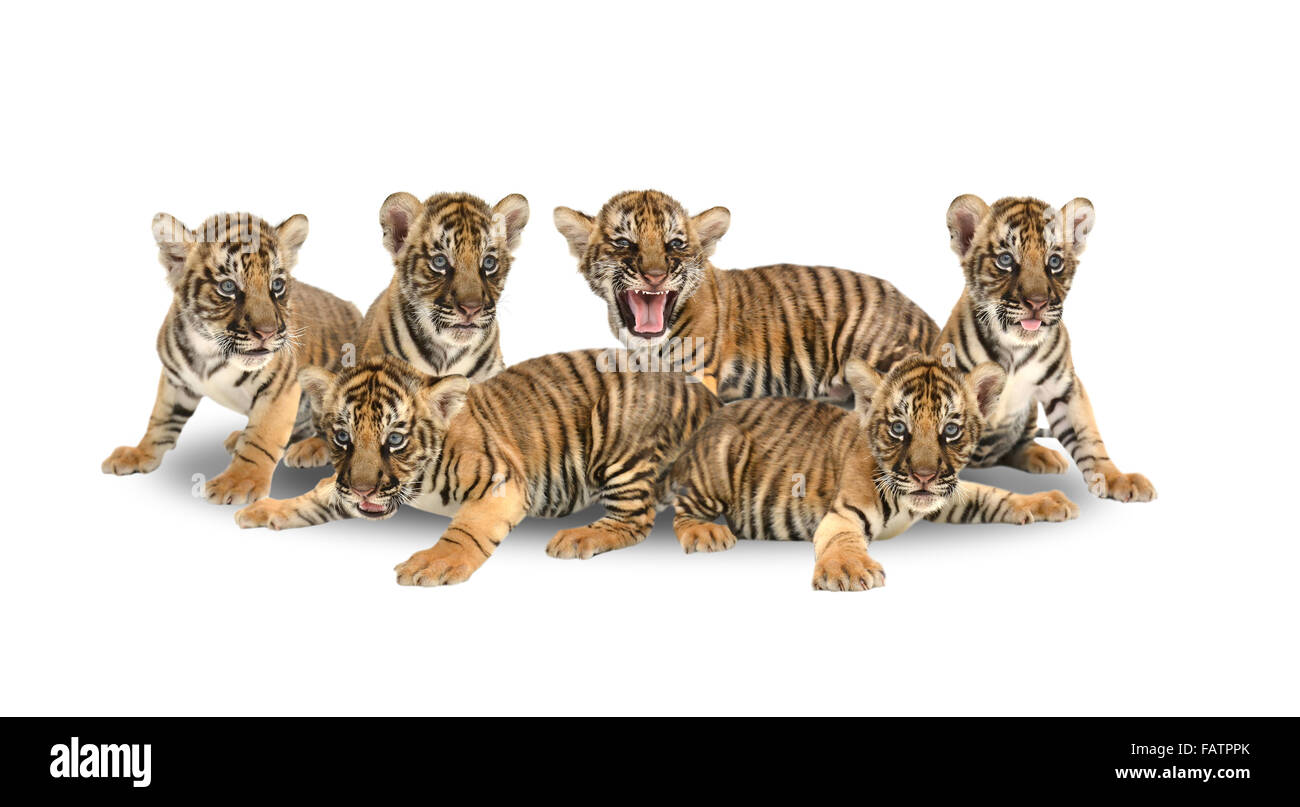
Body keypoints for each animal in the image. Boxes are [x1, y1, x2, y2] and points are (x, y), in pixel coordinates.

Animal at [102, 212, 362, 504]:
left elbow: (262, 437)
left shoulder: (280, 388)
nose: (267, 332)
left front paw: (238, 482)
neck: (210, 351)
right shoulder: (176, 381)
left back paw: (311, 448)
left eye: (277, 285)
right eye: (228, 286)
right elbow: (160, 420)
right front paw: (139, 452)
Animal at [233, 351, 721, 586]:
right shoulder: (345, 483)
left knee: (634, 520)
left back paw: (580, 536)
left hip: (618, 438)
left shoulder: (502, 484)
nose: (364, 490)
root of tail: (700, 391)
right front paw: (264, 509)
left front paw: (434, 563)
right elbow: (311, 499)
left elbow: (464, 531)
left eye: (395, 439)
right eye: (342, 437)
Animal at [668, 355, 1079, 591]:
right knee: (684, 511)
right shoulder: (843, 514)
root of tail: (714, 415)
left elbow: (993, 496)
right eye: (898, 428)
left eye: (950, 430)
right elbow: (841, 540)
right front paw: (849, 570)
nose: (925, 476)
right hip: (716, 464)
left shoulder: (948, 496)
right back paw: (706, 533)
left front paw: (1046, 501)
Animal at [936, 195, 1156, 503]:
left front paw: (1115, 478)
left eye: (1054, 261)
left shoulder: (1064, 388)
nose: (1037, 302)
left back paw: (1043, 456)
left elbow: (1088, 437)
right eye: (1006, 260)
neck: (1014, 348)